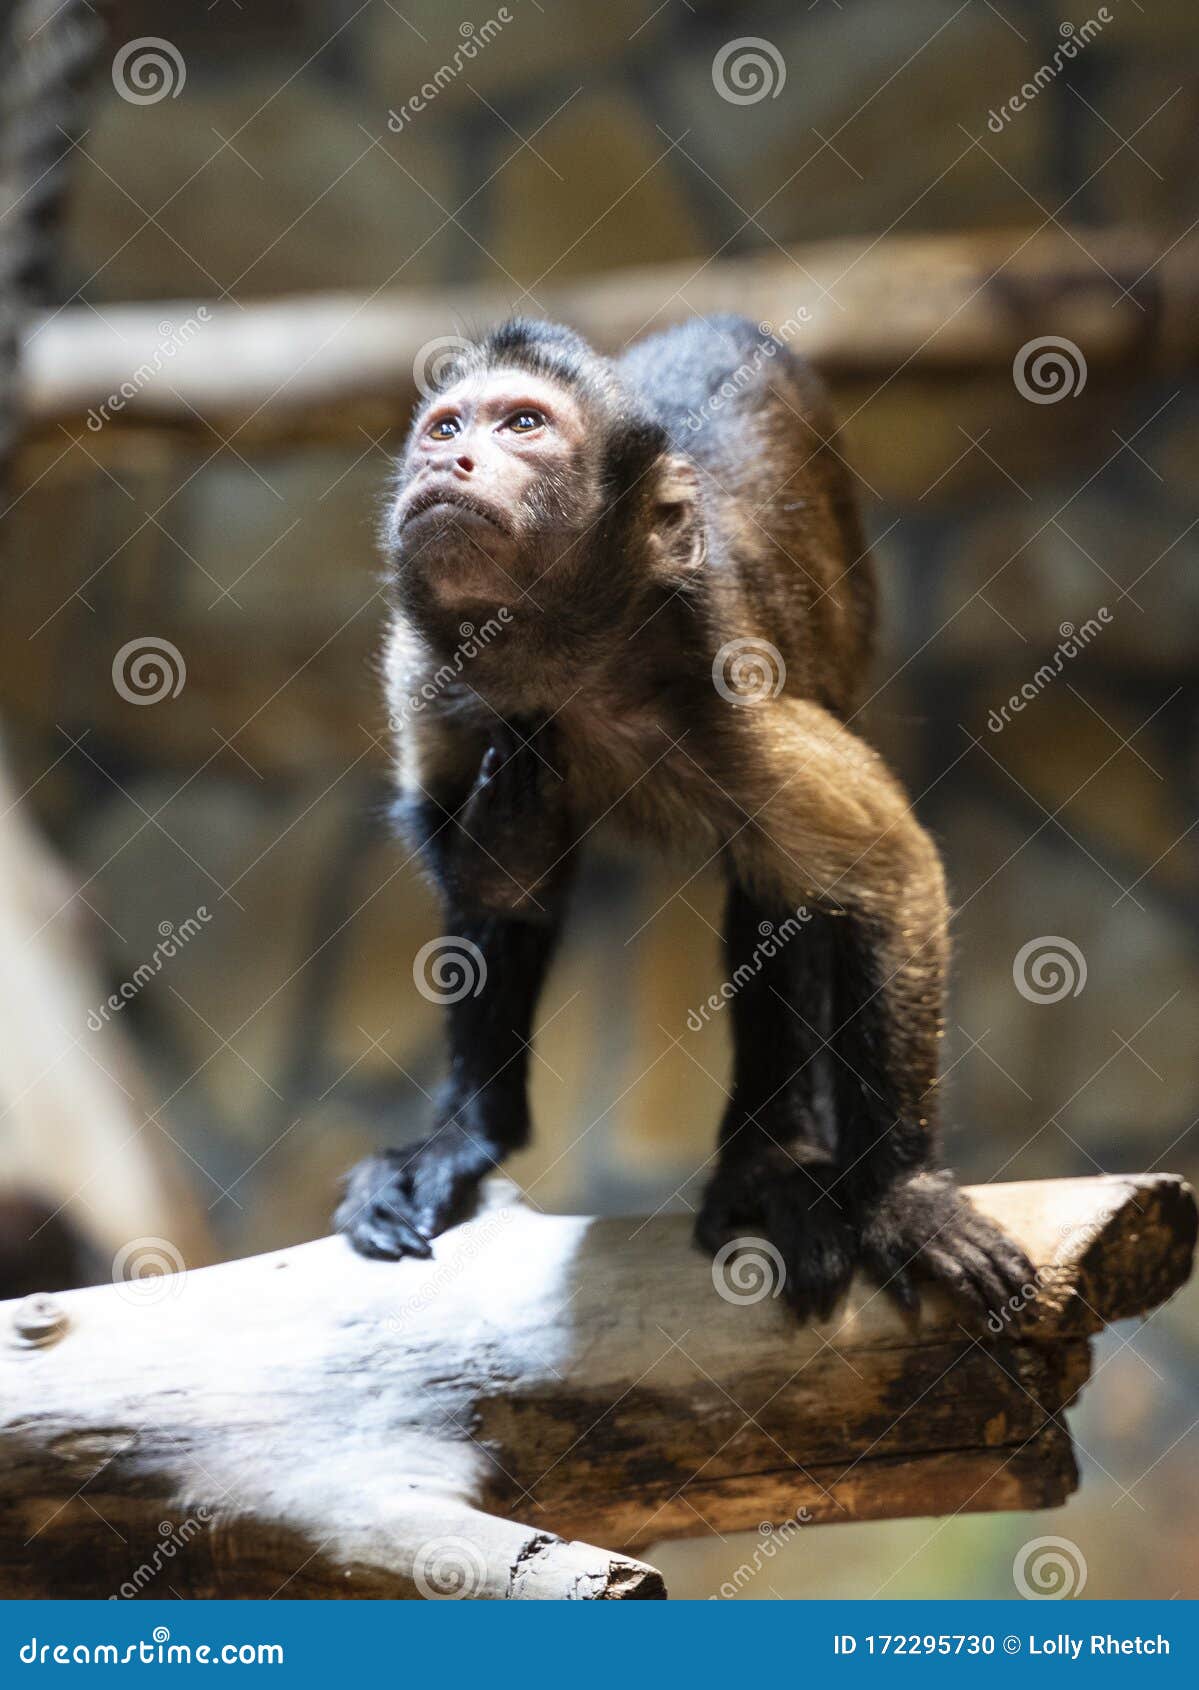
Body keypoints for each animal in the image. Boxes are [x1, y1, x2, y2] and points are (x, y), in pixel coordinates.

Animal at [334, 314, 1034, 1323]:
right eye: (445, 426)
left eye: (520, 425)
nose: (448, 459)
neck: (569, 671)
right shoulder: (428, 674)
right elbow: (474, 864)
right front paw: (513, 845)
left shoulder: (729, 694)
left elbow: (888, 874)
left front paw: (900, 1194)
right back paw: (475, 1128)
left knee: (775, 885)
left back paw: (770, 1162)